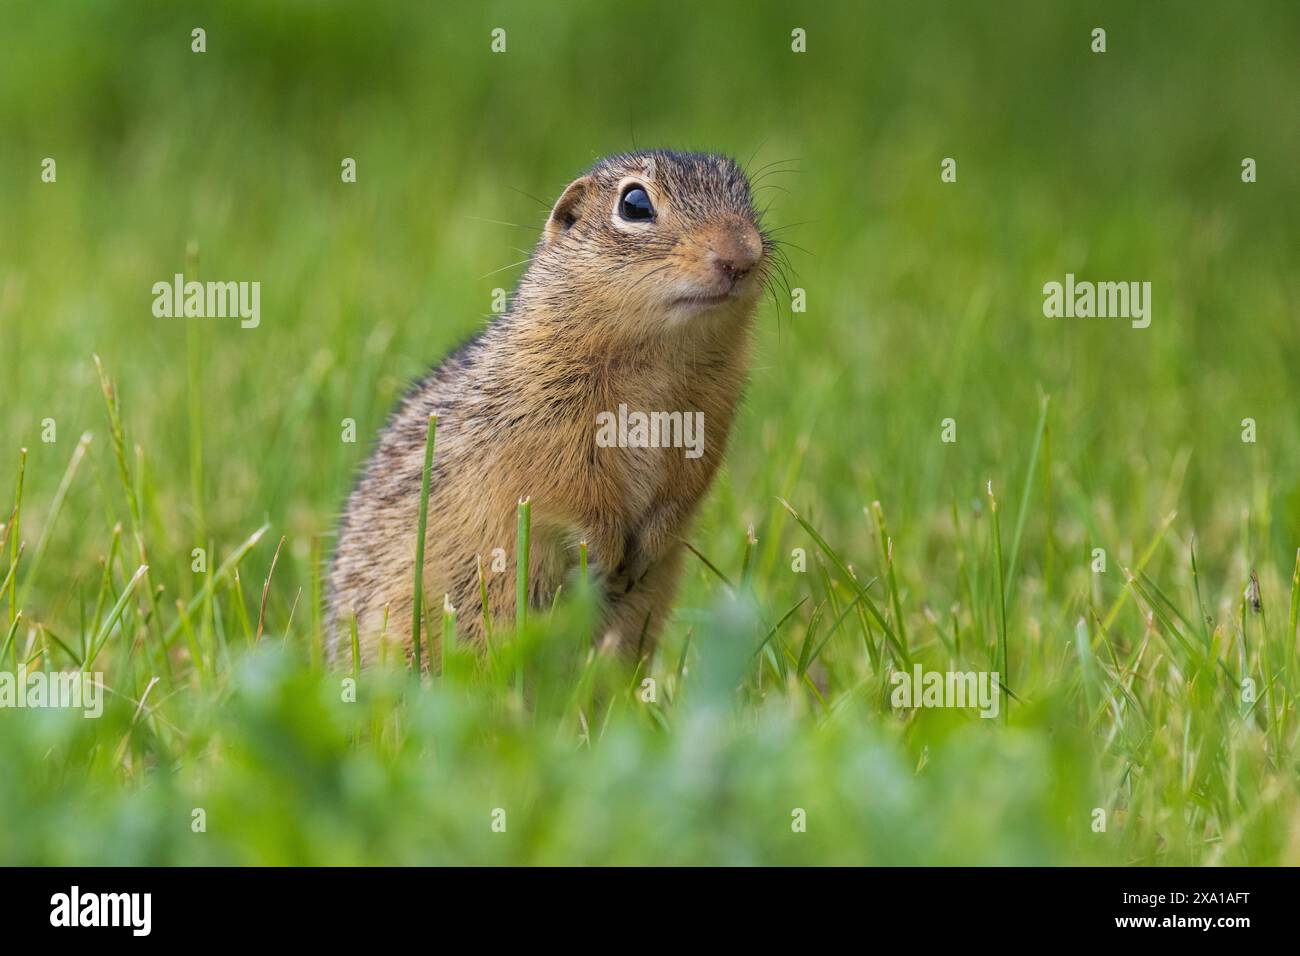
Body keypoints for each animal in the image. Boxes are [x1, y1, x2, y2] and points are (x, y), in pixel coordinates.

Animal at [327, 150, 771, 667]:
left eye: (746, 196)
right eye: (635, 204)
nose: (742, 256)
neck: (660, 357)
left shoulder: (708, 424)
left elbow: (685, 491)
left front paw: (646, 551)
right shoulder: (544, 429)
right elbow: (571, 495)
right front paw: (604, 553)